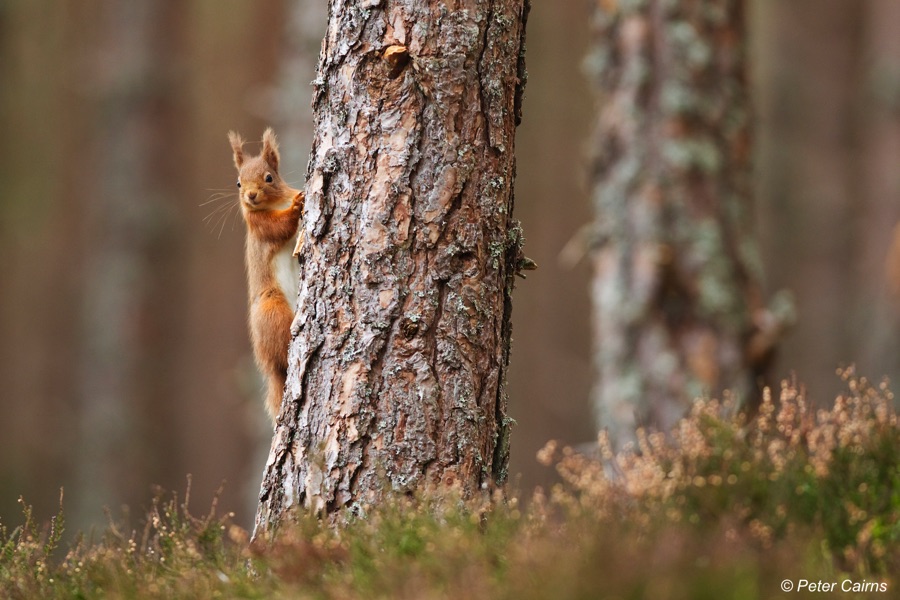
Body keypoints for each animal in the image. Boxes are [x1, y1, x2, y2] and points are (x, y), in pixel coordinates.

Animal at [228, 128, 303, 423]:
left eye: (269, 177)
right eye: (238, 183)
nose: (250, 195)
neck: (277, 202)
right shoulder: (259, 227)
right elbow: (280, 227)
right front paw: (296, 208)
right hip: (272, 309)